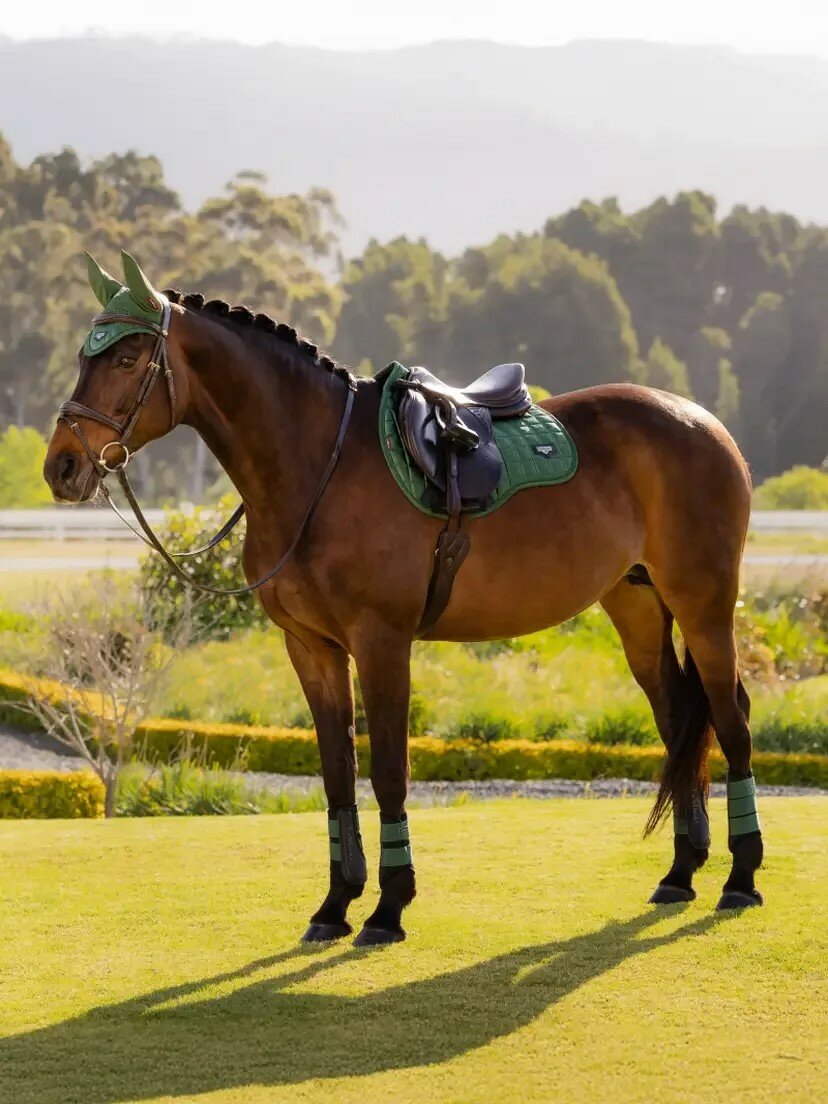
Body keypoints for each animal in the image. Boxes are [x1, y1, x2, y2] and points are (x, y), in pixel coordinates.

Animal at [44, 252, 764, 945]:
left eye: (128, 358)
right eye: (85, 356)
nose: (62, 467)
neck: (319, 467)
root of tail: (705, 423)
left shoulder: (381, 642)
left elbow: (388, 771)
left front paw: (388, 908)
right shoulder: (311, 648)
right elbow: (337, 773)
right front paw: (335, 904)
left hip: (705, 608)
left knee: (731, 720)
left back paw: (741, 877)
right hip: (637, 607)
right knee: (680, 720)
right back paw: (681, 871)